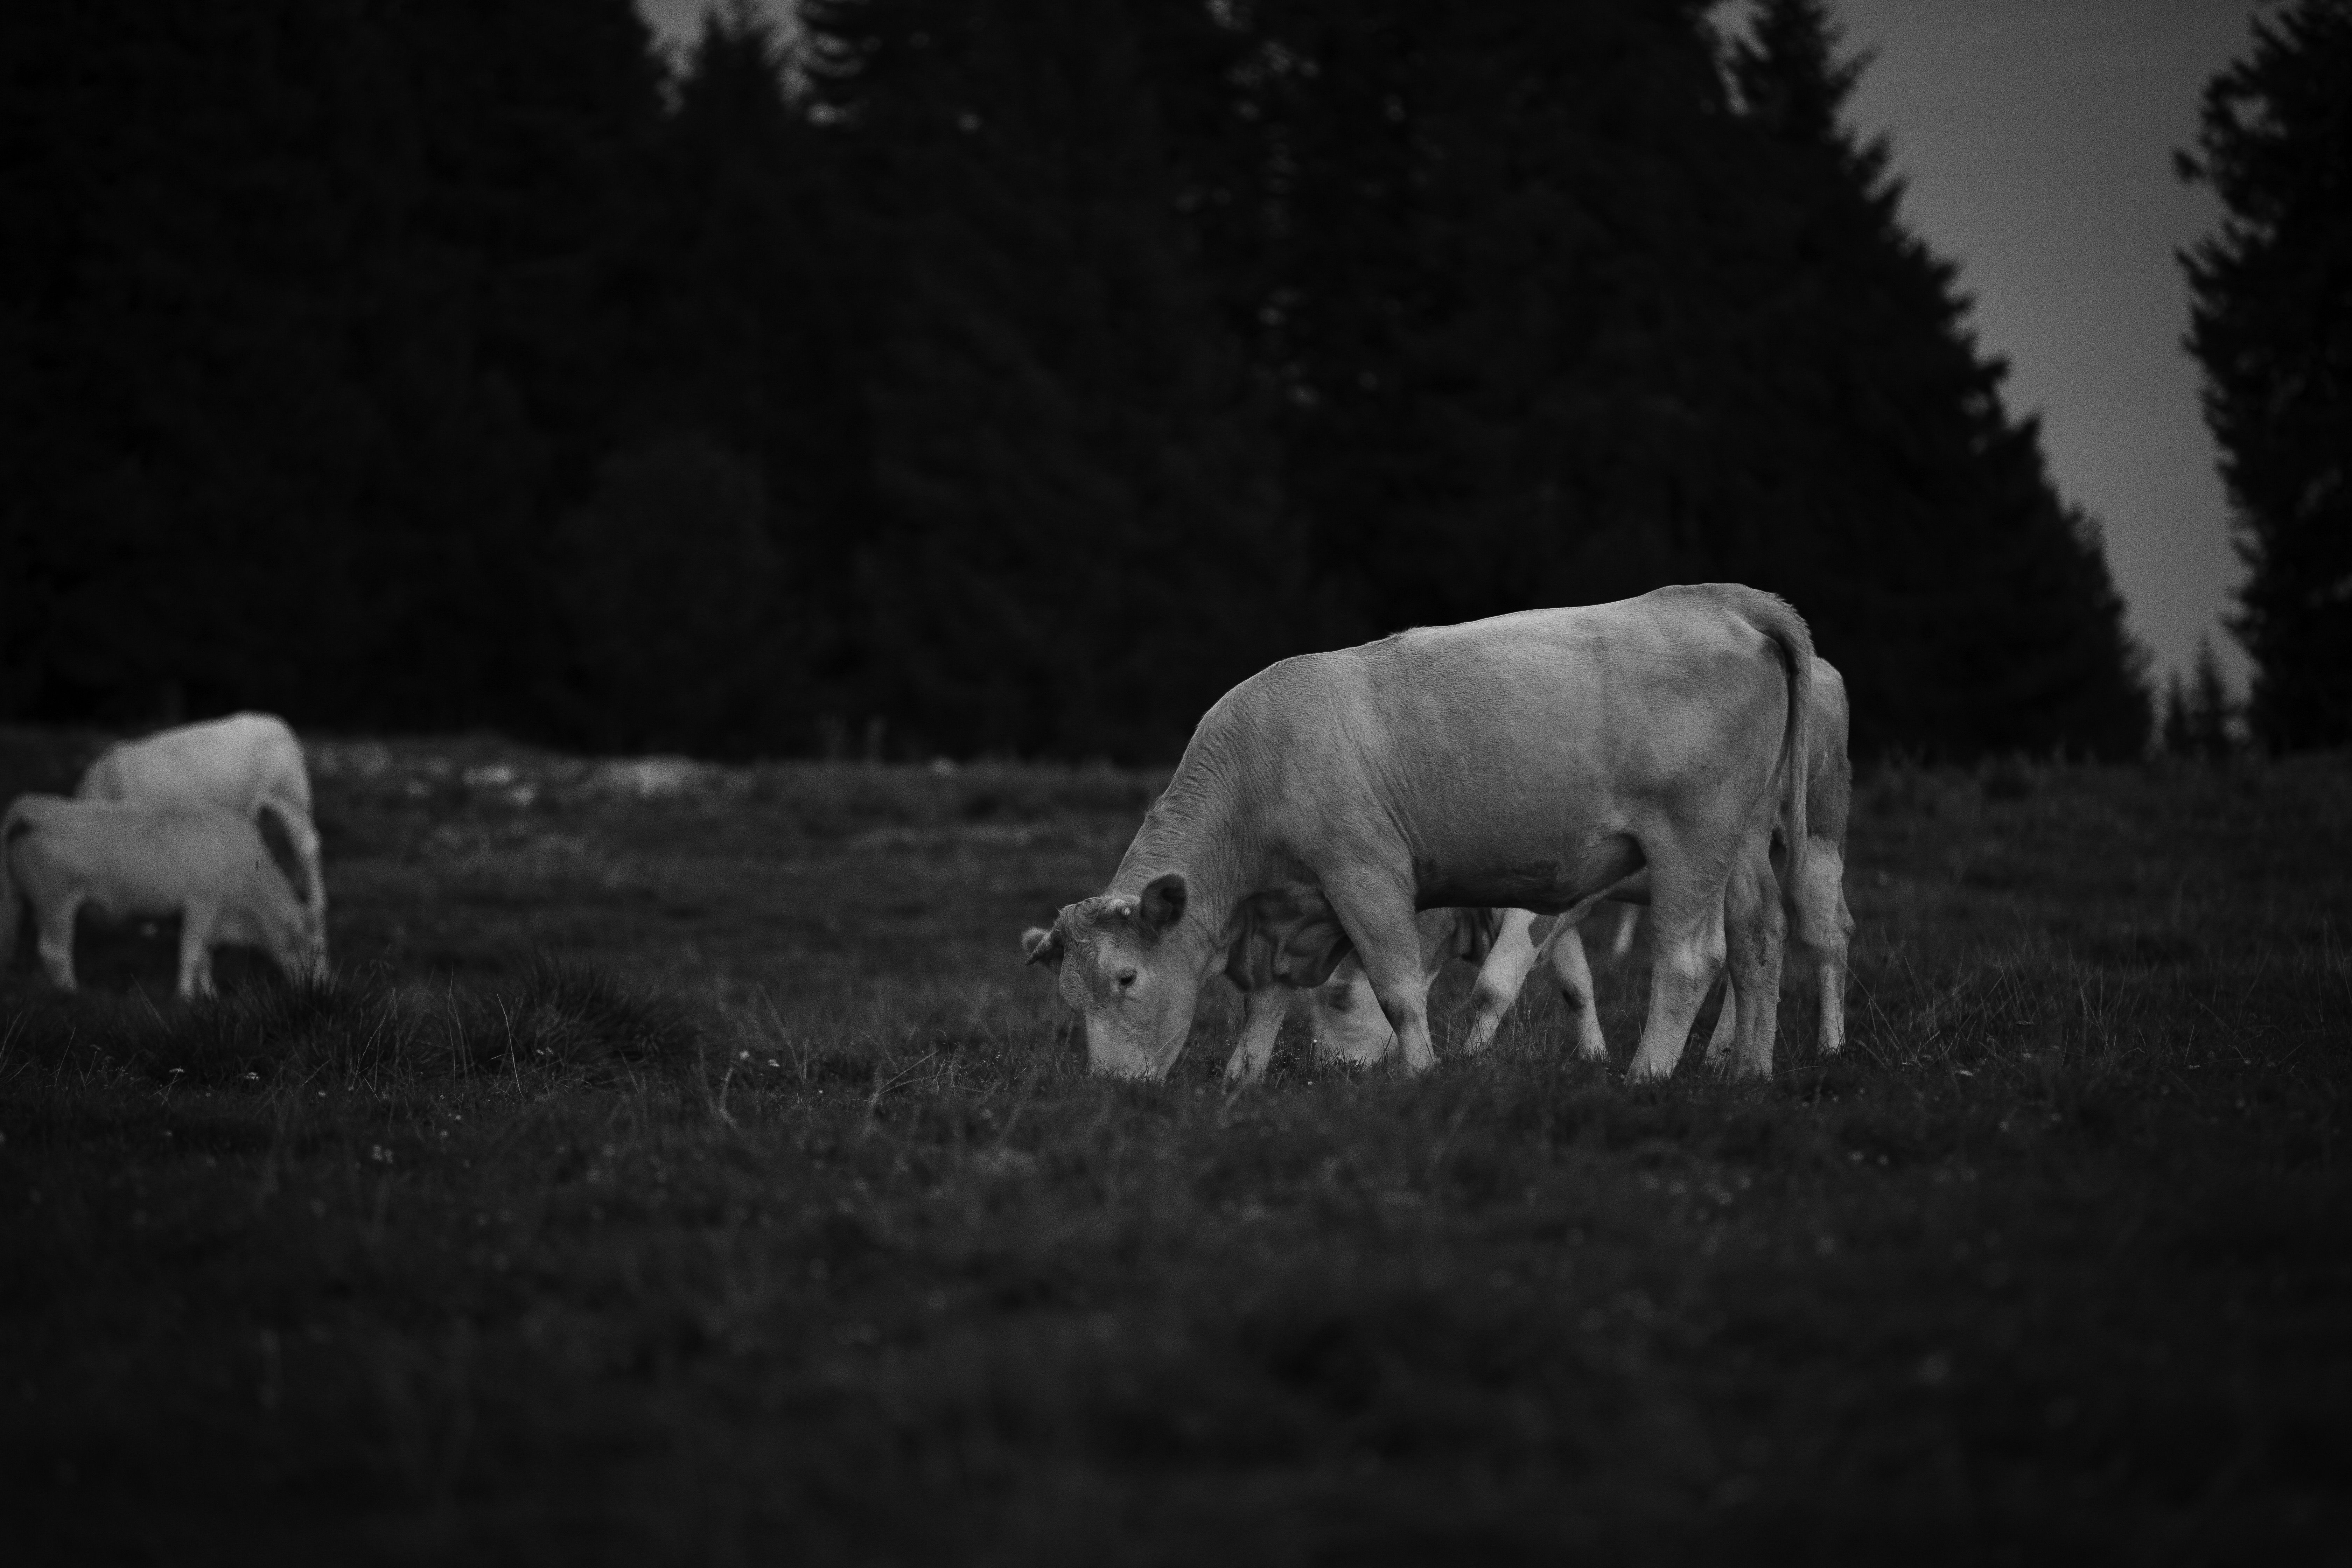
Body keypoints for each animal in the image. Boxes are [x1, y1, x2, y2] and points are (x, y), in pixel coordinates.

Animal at [2, 795, 329, 998]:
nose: (321, 987)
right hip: (56, 901)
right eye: (315, 949)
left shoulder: (211, 915)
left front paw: (209, 994)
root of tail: (30, 807)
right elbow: (192, 952)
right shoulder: (202, 904)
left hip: (16, 898)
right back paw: (71, 991)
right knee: (54, 950)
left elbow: (205, 956)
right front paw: (185, 995)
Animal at [1302, 656, 1854, 1070]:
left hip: (1820, 832)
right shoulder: (1563, 904)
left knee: (1829, 933)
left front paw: (1470, 1058)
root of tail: (1824, 667)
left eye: (1338, 998)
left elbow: (1494, 984)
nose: (1327, 1067)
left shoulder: (1534, 902)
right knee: (1756, 943)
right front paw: (1594, 1053)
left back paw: (1831, 1045)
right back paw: (1723, 1052)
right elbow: (1576, 984)